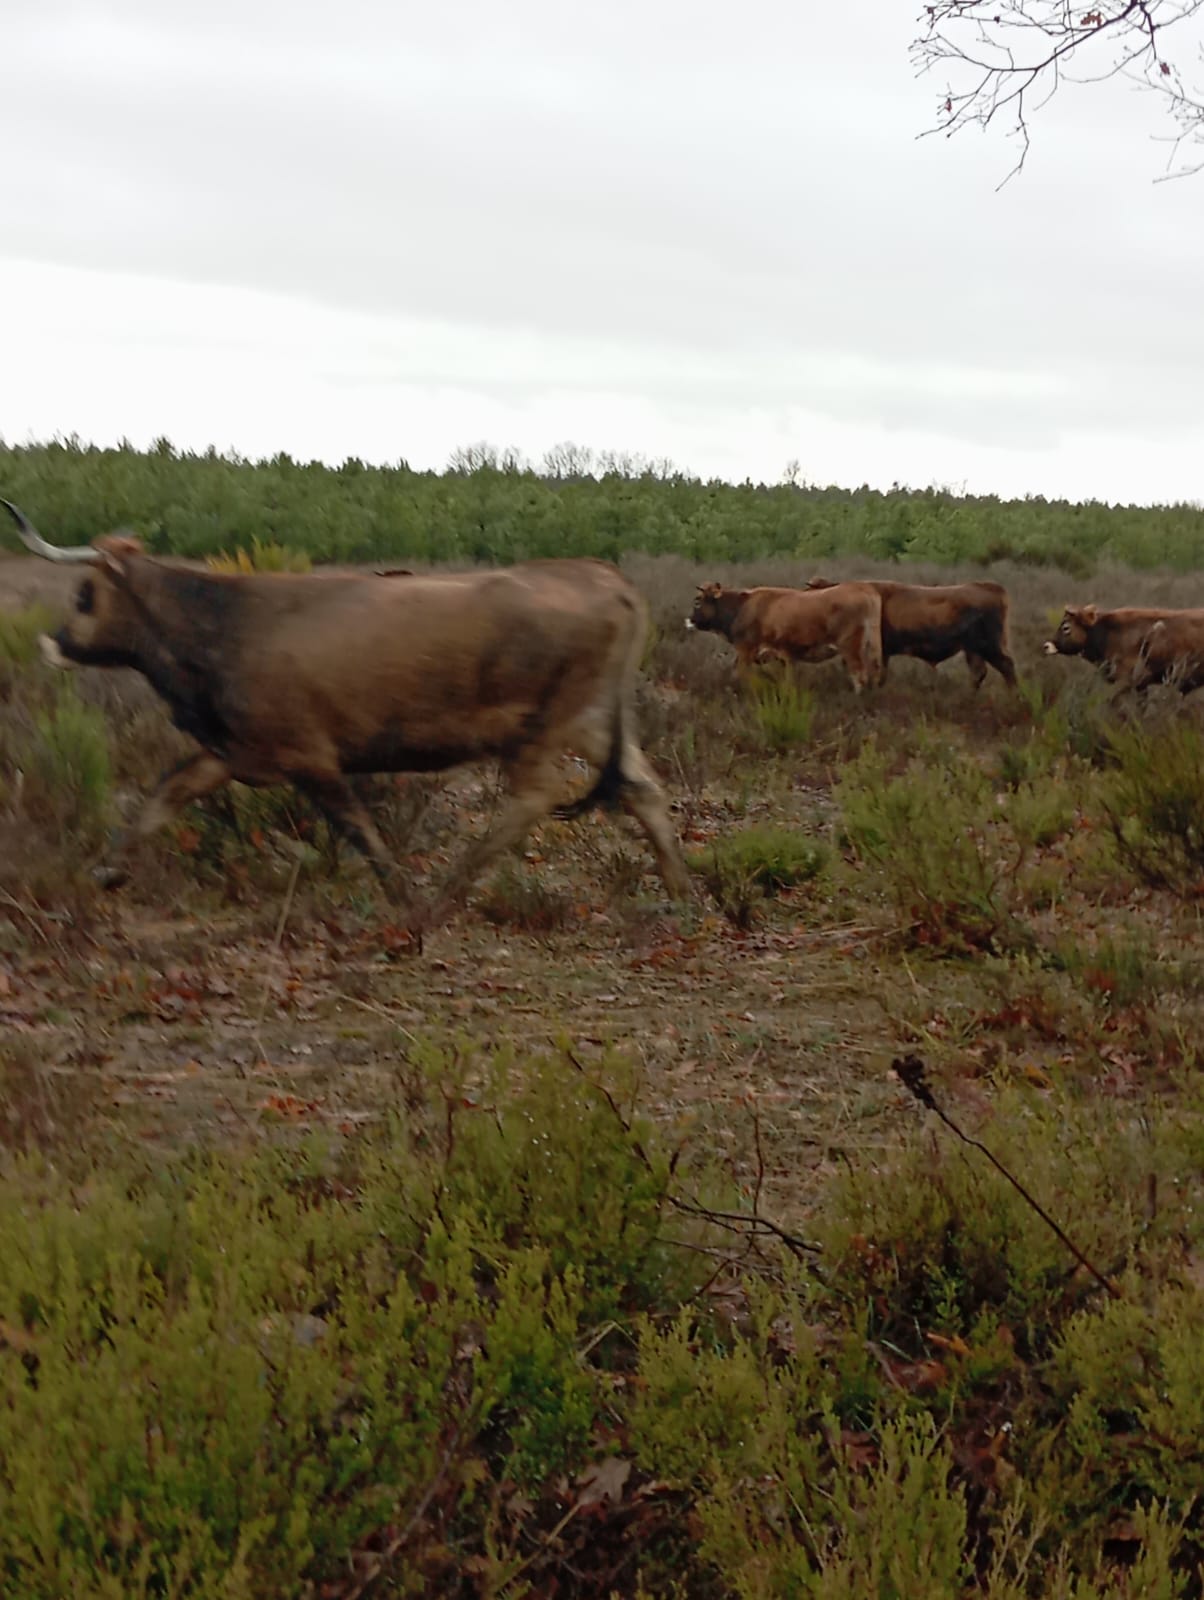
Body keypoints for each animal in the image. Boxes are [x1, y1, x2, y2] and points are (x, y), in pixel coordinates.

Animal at [1, 500, 689, 921]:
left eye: (85, 593)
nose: (51, 643)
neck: (220, 625)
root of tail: (600, 576)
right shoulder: (233, 750)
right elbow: (164, 795)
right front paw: (106, 869)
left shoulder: (310, 756)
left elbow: (359, 828)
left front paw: (402, 899)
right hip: (591, 720)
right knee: (644, 787)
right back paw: (682, 887)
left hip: (542, 725)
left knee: (535, 798)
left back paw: (442, 898)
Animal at [686, 581, 883, 691]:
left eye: (697, 600)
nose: (690, 620)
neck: (742, 607)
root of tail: (863, 588)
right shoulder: (784, 657)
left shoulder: (746, 651)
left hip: (851, 648)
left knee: (859, 676)